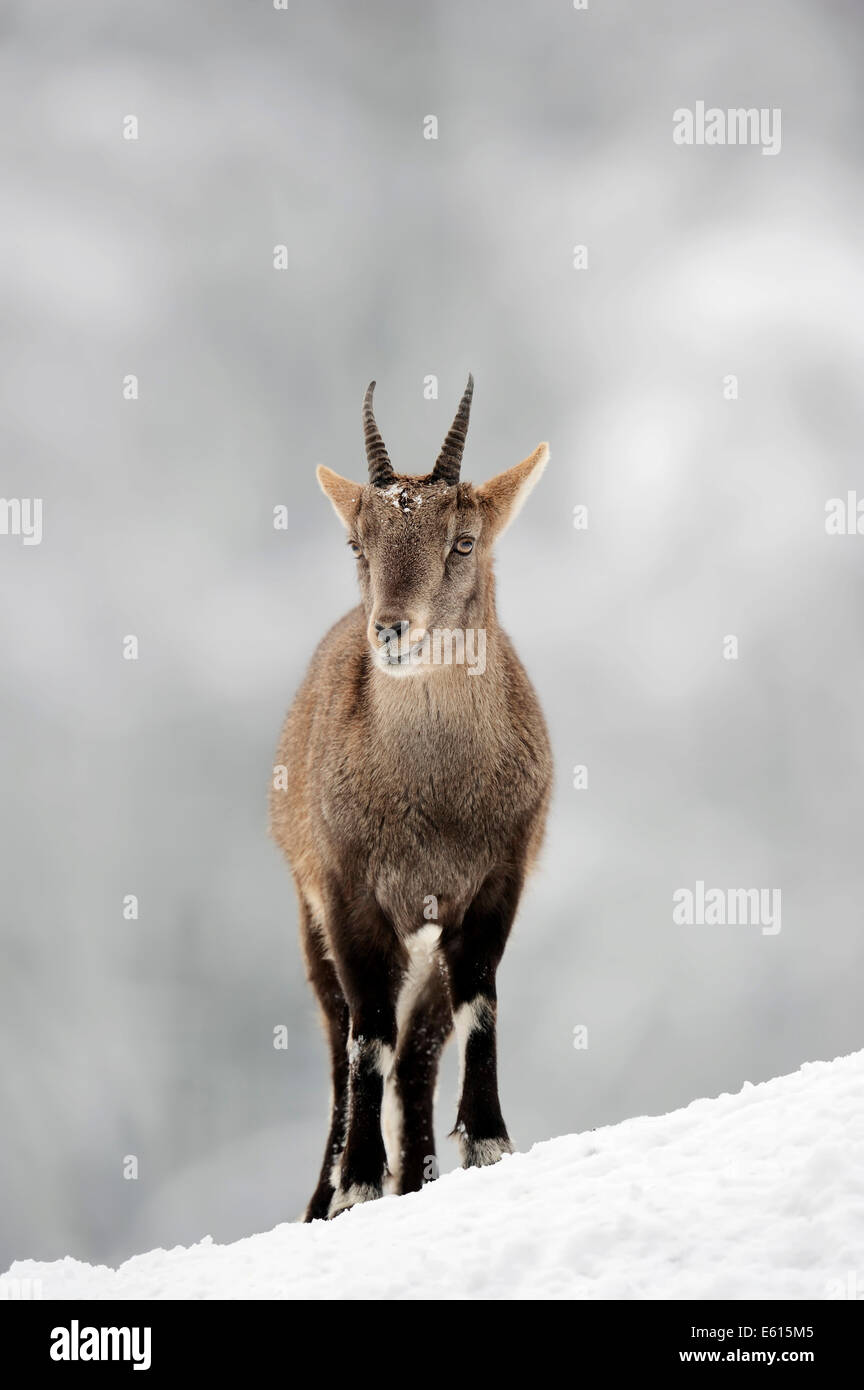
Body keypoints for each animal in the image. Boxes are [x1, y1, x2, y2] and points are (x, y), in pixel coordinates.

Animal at [269, 376, 552, 1219]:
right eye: (358, 544)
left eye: (463, 541)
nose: (391, 630)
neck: (438, 805)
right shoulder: (348, 893)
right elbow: (366, 1035)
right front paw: (359, 1179)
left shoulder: (495, 881)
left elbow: (478, 1001)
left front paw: (487, 1140)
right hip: (311, 920)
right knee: (346, 1044)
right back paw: (328, 1195)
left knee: (420, 1050)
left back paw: (417, 1173)